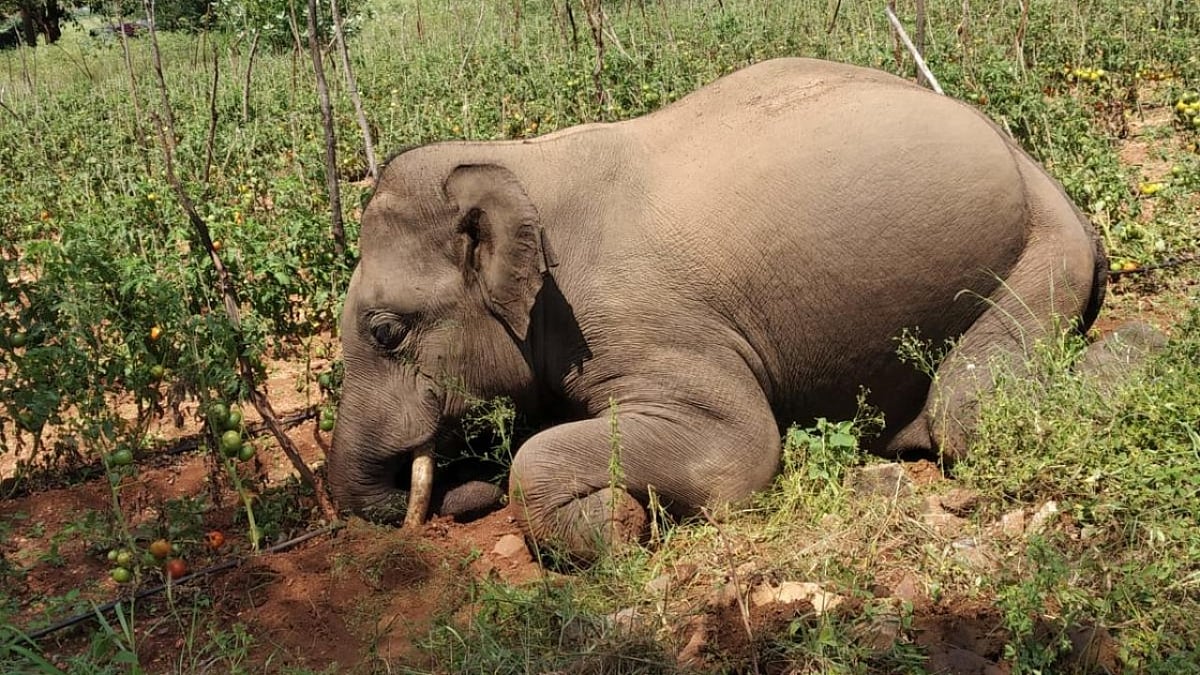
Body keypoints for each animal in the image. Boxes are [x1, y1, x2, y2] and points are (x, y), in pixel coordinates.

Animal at [326, 58, 1108, 561]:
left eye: (386, 330)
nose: (457, 484)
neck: (513, 163)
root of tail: (1031, 161)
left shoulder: (644, 325)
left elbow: (742, 446)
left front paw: (620, 525)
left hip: (1043, 250)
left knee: (965, 412)